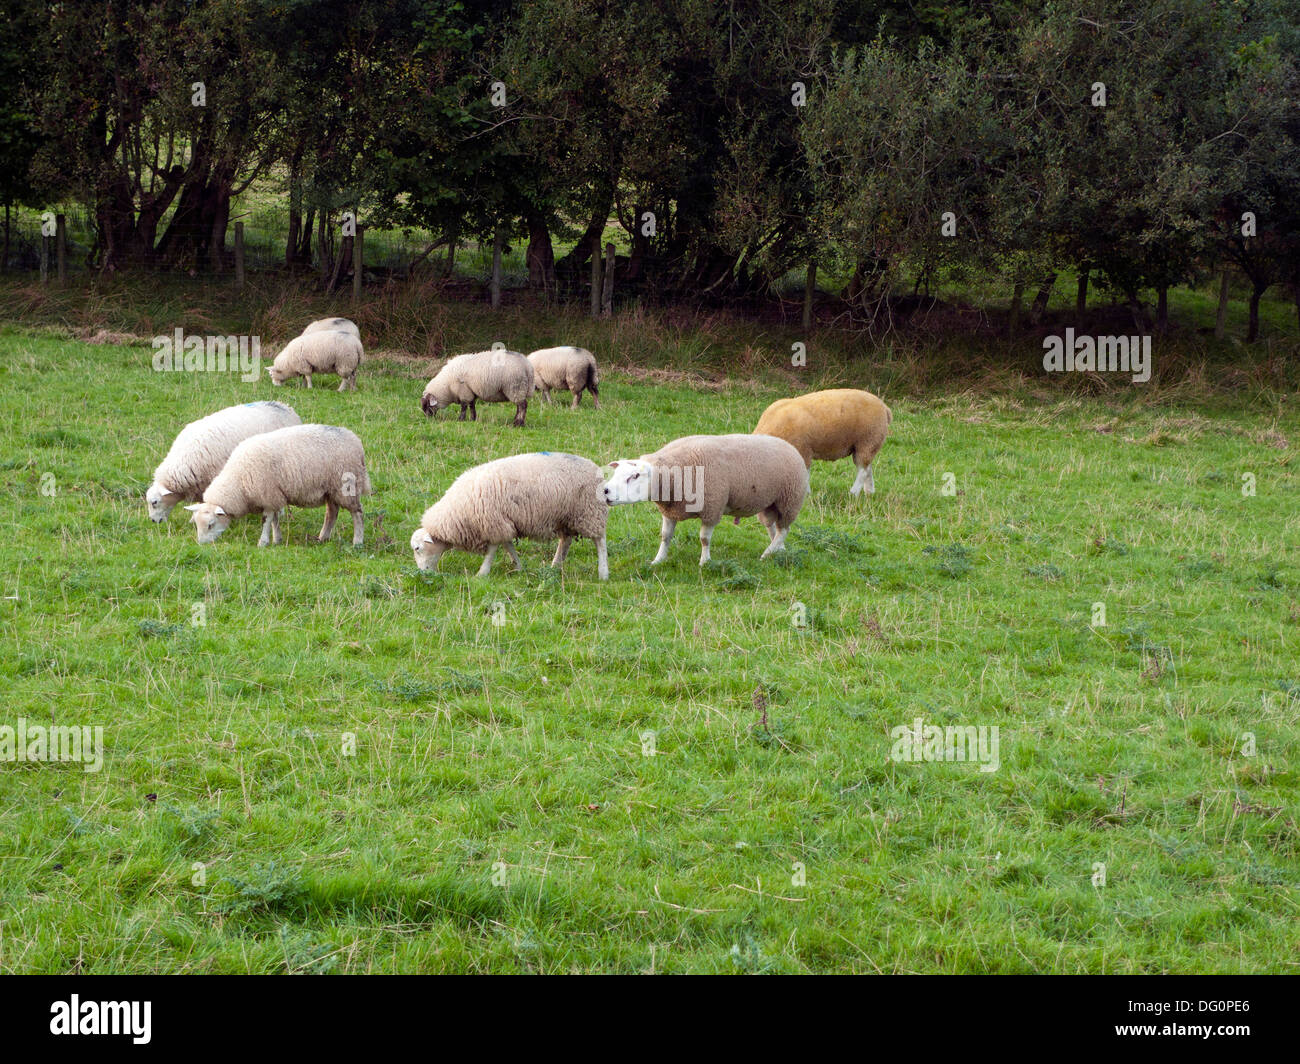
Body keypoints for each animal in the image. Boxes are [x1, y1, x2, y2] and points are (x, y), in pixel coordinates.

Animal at [184, 424, 372, 547]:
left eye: (210, 524)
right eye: (196, 524)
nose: (201, 544)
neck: (239, 481)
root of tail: (356, 441)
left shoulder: (267, 493)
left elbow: (266, 520)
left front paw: (263, 542)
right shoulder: (273, 495)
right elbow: (274, 519)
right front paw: (277, 539)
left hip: (346, 485)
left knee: (357, 513)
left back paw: (358, 541)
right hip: (330, 490)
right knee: (332, 513)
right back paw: (323, 538)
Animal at [410, 452, 609, 579]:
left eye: (418, 548)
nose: (423, 574)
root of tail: (596, 468)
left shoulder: (493, 522)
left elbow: (492, 549)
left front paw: (482, 573)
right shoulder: (504, 522)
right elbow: (508, 546)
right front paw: (518, 567)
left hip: (590, 512)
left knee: (600, 541)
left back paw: (603, 572)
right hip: (565, 517)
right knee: (566, 540)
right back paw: (555, 566)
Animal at [602, 433, 808, 565]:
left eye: (634, 476)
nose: (605, 491)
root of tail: (790, 446)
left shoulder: (712, 508)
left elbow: (704, 539)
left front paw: (704, 562)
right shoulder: (669, 511)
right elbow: (665, 536)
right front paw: (658, 560)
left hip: (789, 500)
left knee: (783, 530)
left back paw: (767, 554)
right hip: (770, 503)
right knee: (773, 527)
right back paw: (777, 550)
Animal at [753, 388, 891, 495]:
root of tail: (885, 408)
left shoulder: (803, 449)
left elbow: (805, 473)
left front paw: (806, 494)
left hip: (868, 440)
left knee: (863, 470)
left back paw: (854, 492)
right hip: (867, 444)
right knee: (868, 467)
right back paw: (869, 492)